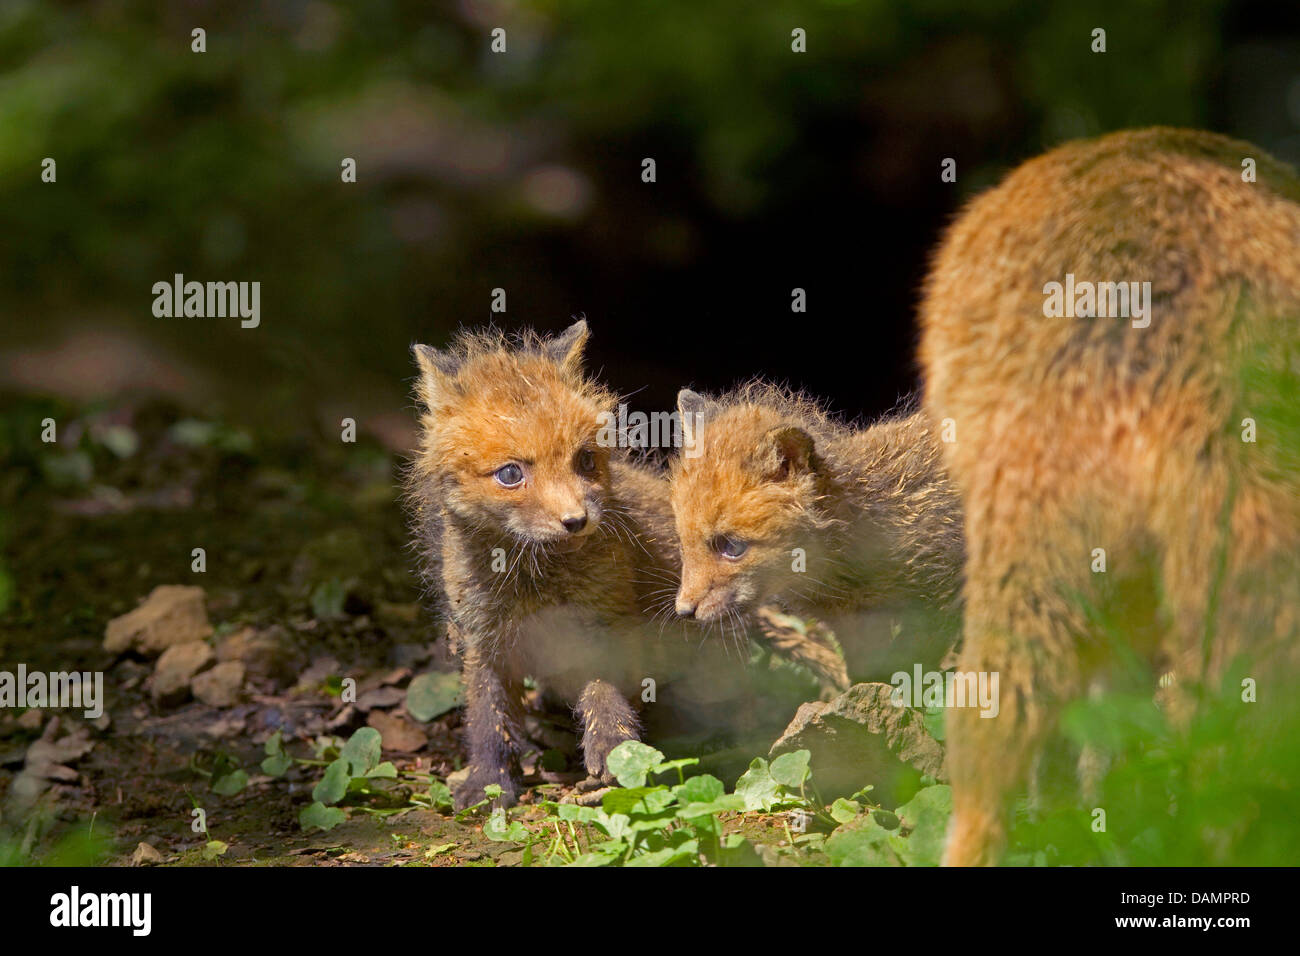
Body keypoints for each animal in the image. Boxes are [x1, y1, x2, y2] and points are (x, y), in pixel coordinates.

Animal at [669, 383, 965, 680]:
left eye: (732, 547)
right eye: (684, 545)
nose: (683, 611)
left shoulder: (939, 592)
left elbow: (913, 663)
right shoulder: (855, 623)